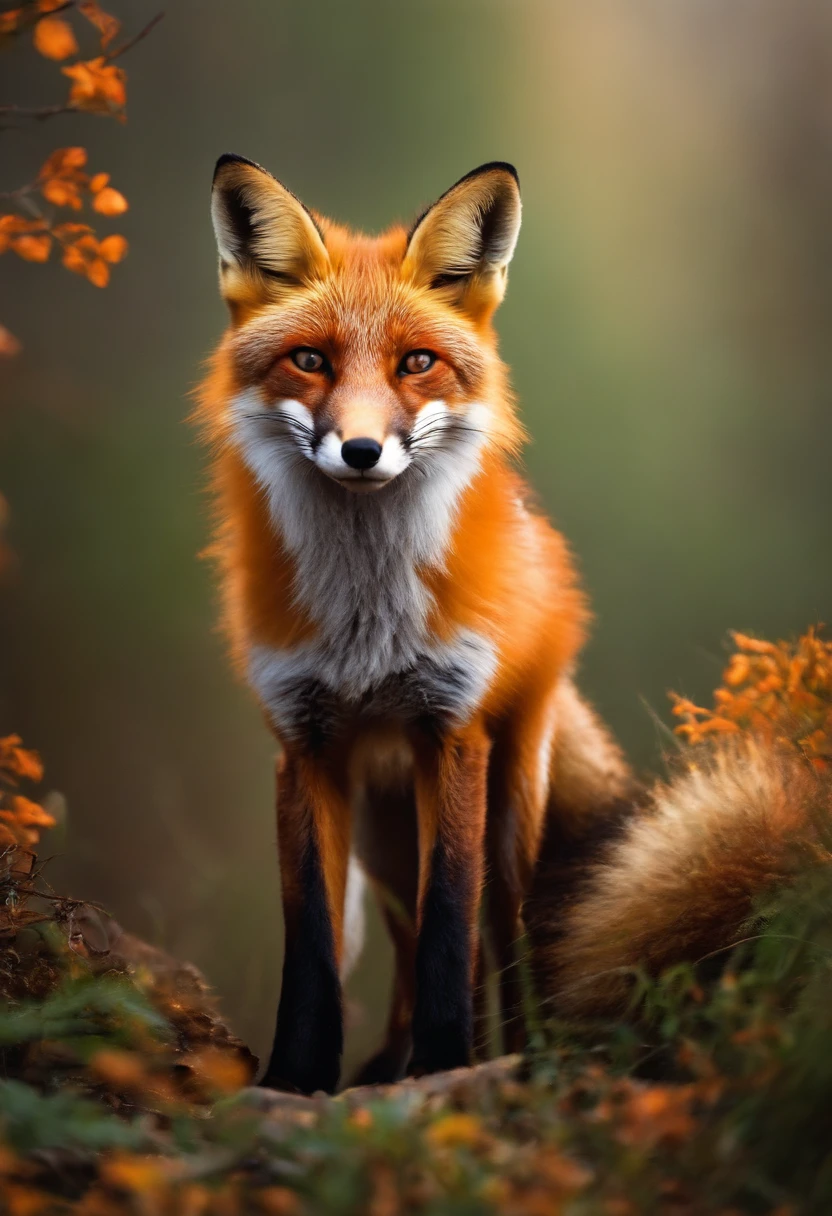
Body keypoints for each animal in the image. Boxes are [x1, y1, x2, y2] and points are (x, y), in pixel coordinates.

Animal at [197, 155, 634, 1093]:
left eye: (417, 363)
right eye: (310, 360)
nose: (362, 451)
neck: (368, 625)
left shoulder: (451, 732)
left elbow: (450, 925)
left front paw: (445, 1060)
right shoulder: (304, 746)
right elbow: (313, 941)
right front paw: (296, 1075)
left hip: (510, 804)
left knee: (498, 937)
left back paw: (510, 1055)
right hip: (384, 835)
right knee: (405, 949)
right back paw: (386, 1066)